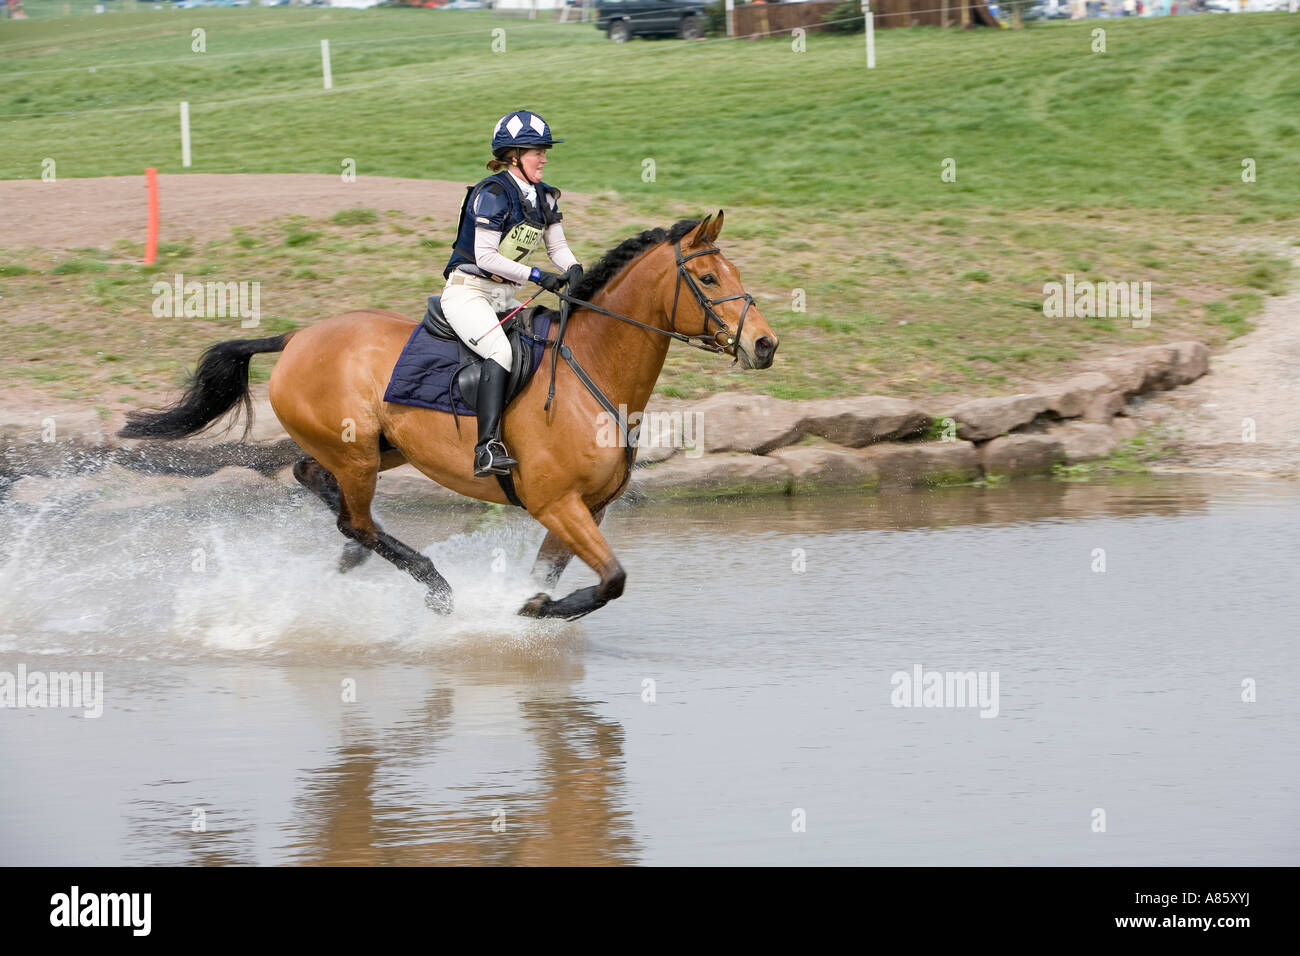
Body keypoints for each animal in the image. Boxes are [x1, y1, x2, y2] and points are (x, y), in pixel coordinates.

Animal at [118, 211, 779, 620]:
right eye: (708, 278)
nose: (765, 345)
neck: (594, 371)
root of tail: (296, 337)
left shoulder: (585, 509)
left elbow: (561, 573)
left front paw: (533, 606)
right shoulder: (557, 504)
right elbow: (613, 578)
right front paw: (532, 610)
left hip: (380, 448)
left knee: (314, 480)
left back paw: (363, 562)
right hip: (357, 455)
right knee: (354, 520)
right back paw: (434, 586)